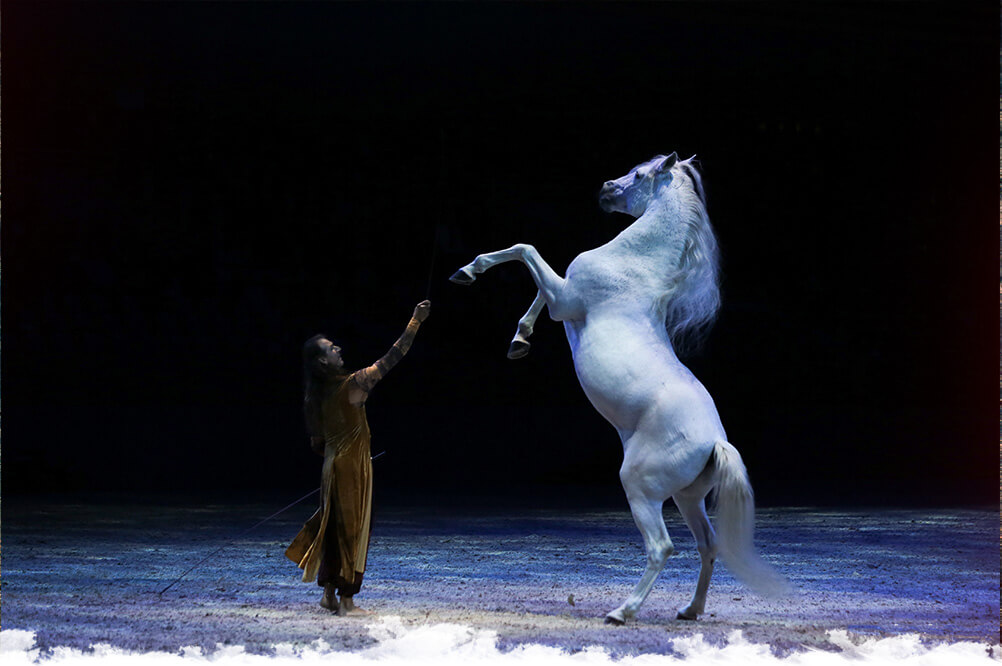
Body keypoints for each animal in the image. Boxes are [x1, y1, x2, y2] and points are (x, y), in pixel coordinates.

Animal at [450, 153, 788, 624]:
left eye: (641, 174)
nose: (606, 188)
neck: (634, 266)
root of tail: (715, 442)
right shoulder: (563, 299)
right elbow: (536, 282)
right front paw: (519, 341)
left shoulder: (565, 298)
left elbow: (525, 251)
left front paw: (467, 272)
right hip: (686, 499)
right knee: (708, 544)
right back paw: (690, 610)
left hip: (641, 487)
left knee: (662, 547)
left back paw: (622, 611)